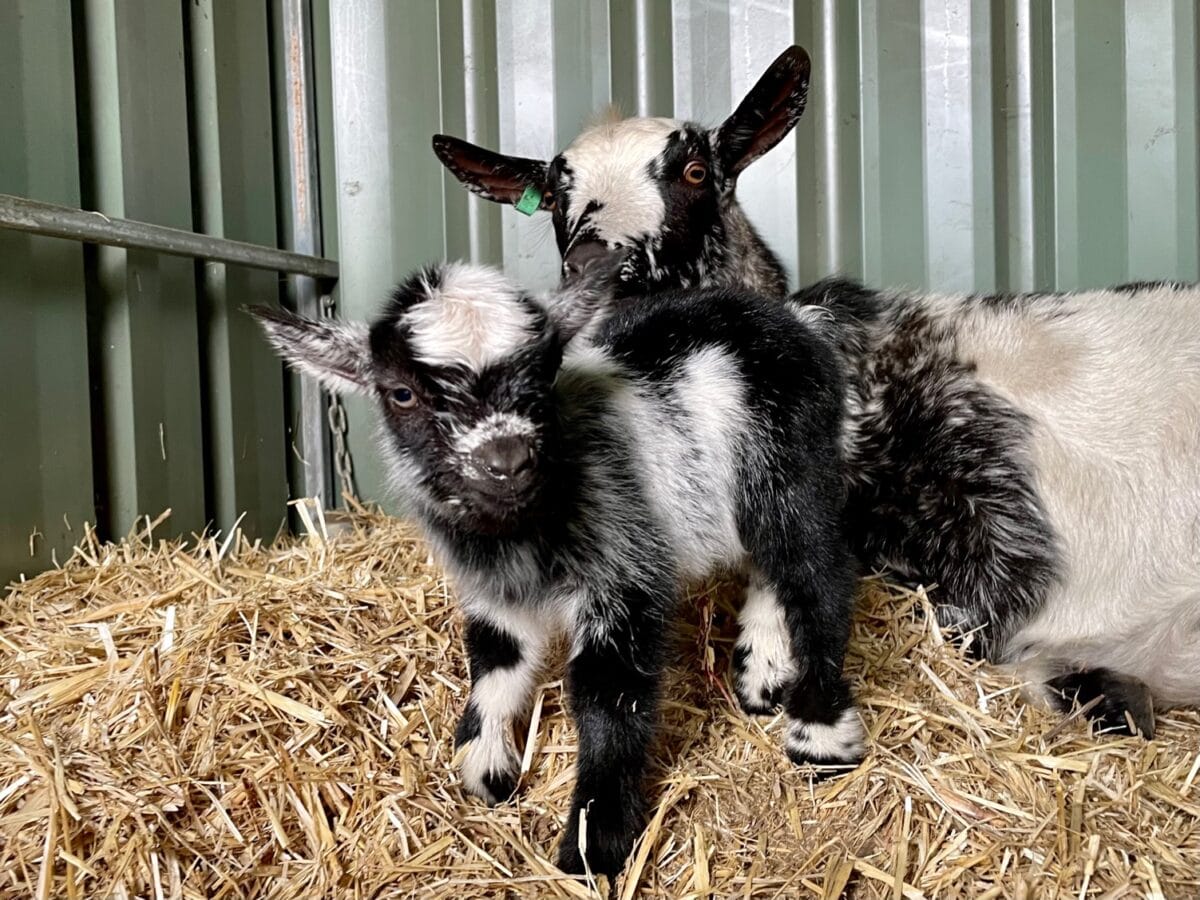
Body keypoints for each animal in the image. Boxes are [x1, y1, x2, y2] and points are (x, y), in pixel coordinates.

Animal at [251, 261, 860, 875]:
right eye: (401, 393)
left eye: (542, 376)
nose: (506, 462)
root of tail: (796, 317)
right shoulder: (494, 595)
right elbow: (494, 661)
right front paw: (486, 767)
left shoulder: (624, 567)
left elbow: (607, 693)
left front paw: (594, 843)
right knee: (770, 567)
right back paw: (763, 672)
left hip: (790, 464)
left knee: (815, 575)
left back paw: (820, 735)